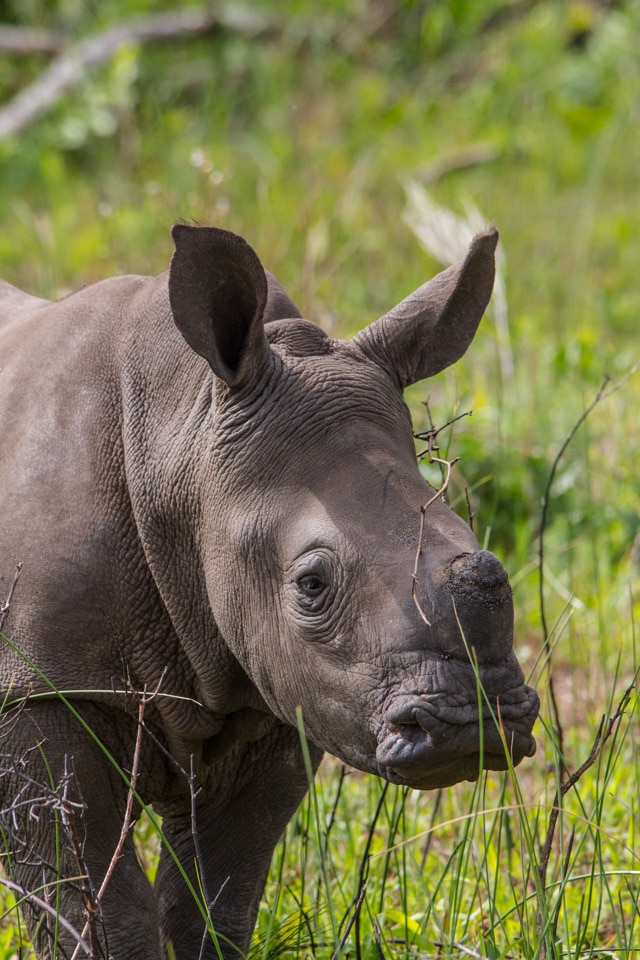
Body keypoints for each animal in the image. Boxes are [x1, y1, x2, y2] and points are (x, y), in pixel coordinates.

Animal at [0, 224, 538, 959]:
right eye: (311, 585)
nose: (472, 726)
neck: (180, 436)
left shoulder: (278, 690)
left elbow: (215, 903)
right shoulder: (42, 682)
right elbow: (95, 907)